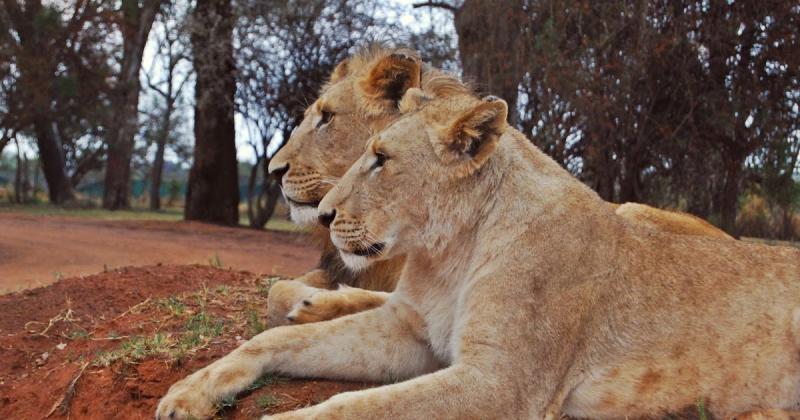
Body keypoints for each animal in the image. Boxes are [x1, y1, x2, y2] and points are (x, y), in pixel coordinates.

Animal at [157, 87, 800, 420]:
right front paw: (191, 391)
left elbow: (350, 408)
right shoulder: (408, 333)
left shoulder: (502, 383)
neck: (448, 254)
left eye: (382, 159)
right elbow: (269, 341)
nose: (325, 216)